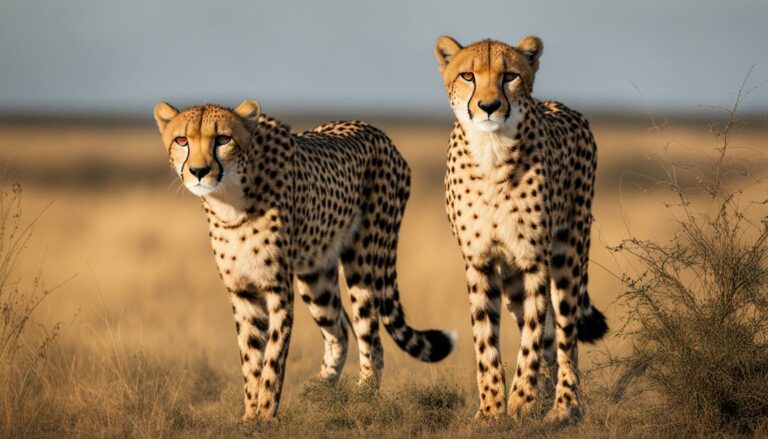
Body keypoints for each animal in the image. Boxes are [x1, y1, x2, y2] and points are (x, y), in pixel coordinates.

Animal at [153, 100, 456, 421]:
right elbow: (251, 357)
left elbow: (273, 357)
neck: (231, 200)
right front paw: (250, 414)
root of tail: (379, 133)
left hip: (365, 261)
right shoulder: (242, 291)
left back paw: (363, 399)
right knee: (340, 331)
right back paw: (321, 389)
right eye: (181, 140)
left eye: (223, 139)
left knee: (371, 338)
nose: (199, 171)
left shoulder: (277, 288)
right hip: (315, 277)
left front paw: (266, 415)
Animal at [433, 35, 608, 423]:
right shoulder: (480, 262)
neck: (491, 151)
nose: (488, 106)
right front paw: (491, 409)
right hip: (512, 277)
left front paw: (521, 401)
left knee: (566, 337)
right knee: (550, 338)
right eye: (467, 75)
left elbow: (531, 335)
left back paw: (565, 404)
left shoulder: (535, 261)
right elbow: (486, 340)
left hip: (568, 256)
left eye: (510, 76)